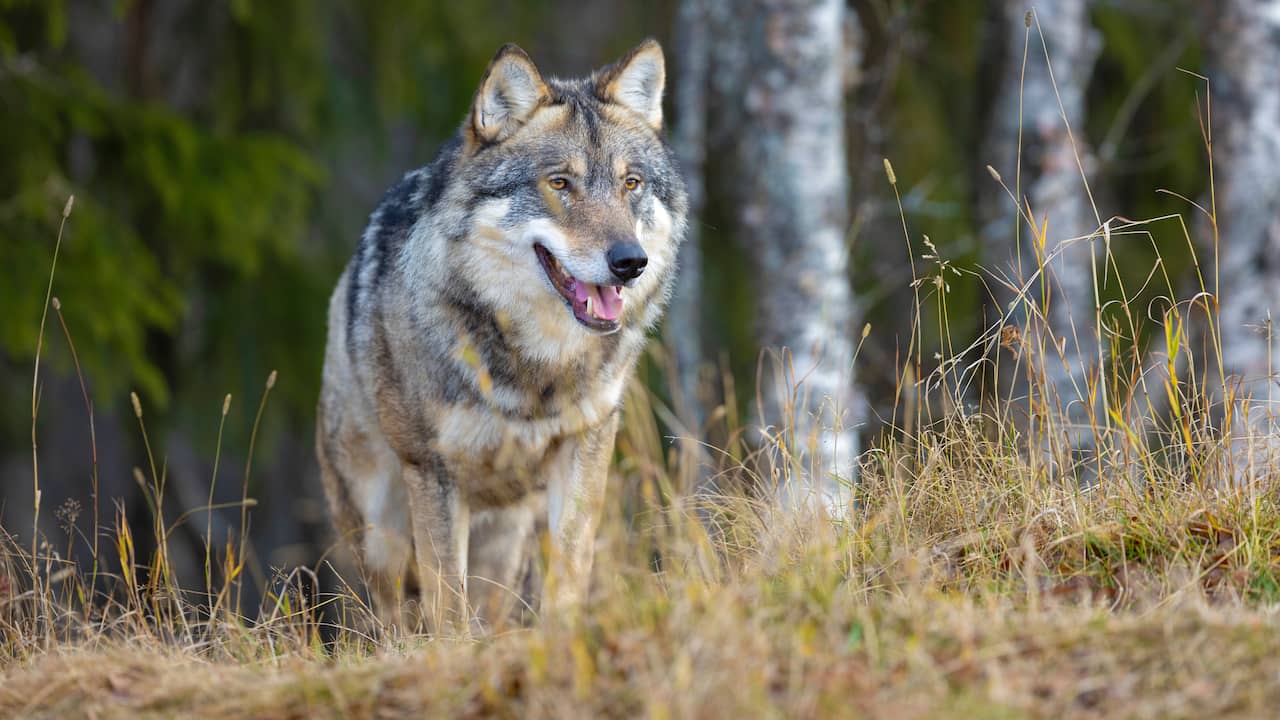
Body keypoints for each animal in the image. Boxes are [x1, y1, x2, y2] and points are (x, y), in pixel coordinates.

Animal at [316, 39, 686, 633]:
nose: (630, 262)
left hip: (504, 541)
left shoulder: (586, 446)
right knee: (389, 613)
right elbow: (446, 602)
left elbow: (571, 566)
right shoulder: (433, 472)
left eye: (631, 184)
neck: (537, 367)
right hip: (379, 530)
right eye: (560, 183)